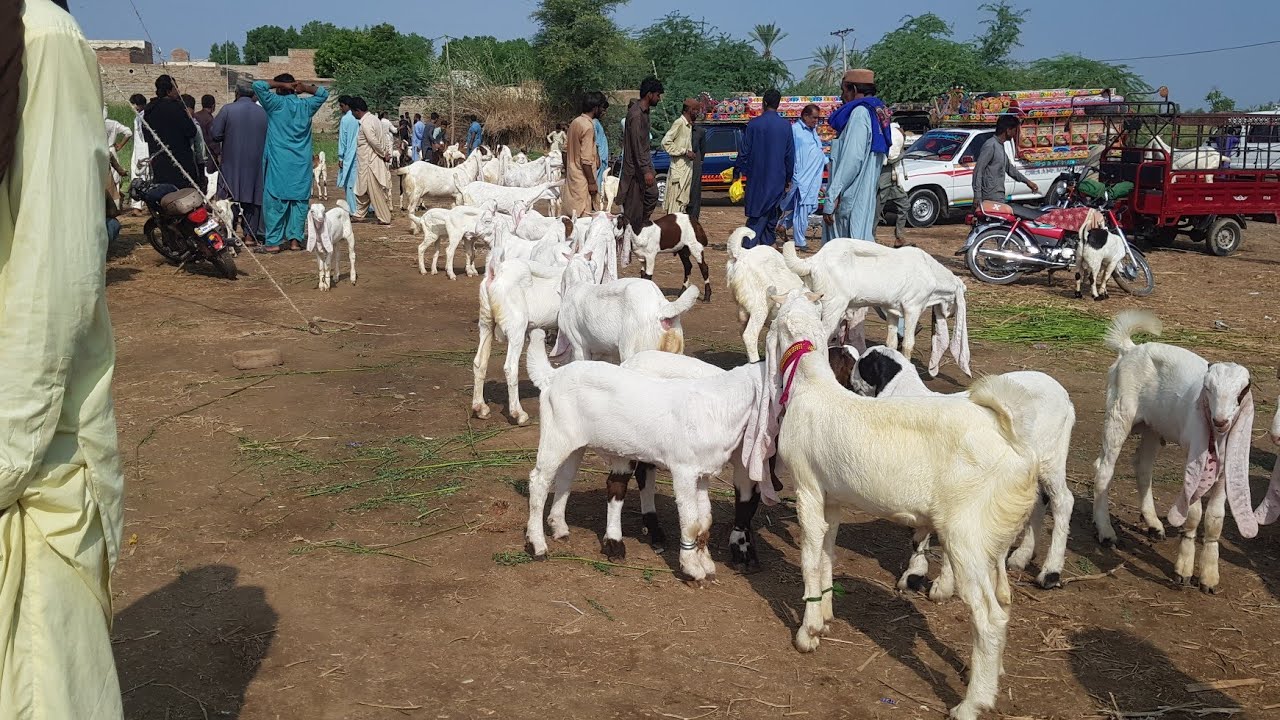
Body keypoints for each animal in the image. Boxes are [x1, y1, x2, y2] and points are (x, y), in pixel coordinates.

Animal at [523, 328, 771, 584]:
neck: (718, 406)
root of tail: (552, 376)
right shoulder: (684, 470)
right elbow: (690, 522)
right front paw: (692, 568)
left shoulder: (703, 473)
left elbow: (704, 521)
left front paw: (707, 564)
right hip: (555, 436)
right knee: (539, 481)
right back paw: (538, 544)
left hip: (575, 442)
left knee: (566, 477)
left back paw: (559, 528)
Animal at [758, 288, 1039, 720]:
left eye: (773, 322)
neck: (813, 388)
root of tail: (1016, 448)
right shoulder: (832, 498)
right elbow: (826, 553)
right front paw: (826, 613)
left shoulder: (807, 488)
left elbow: (808, 558)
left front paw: (808, 632)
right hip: (993, 536)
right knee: (1002, 605)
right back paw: (991, 674)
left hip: (966, 538)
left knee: (989, 617)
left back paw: (971, 703)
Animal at [782, 239, 971, 378]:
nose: (951, 314)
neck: (931, 272)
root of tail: (814, 261)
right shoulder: (913, 307)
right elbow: (908, 343)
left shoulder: (892, 310)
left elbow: (891, 342)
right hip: (834, 304)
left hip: (811, 295)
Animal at [835, 344, 1076, 591]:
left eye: (863, 364)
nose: (850, 379)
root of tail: (1063, 395)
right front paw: (917, 574)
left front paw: (934, 581)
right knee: (1038, 500)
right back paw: (1021, 556)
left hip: (1051, 456)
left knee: (1063, 502)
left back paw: (1051, 572)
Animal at [1091, 310, 1260, 594]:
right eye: (1208, 389)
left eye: (1242, 392)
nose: (1220, 421)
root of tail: (1130, 349)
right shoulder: (1194, 459)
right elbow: (1194, 513)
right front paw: (1183, 570)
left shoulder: (1225, 471)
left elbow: (1215, 518)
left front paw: (1209, 577)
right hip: (1119, 412)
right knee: (1104, 468)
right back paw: (1106, 531)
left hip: (1152, 426)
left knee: (1143, 466)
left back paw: (1153, 525)